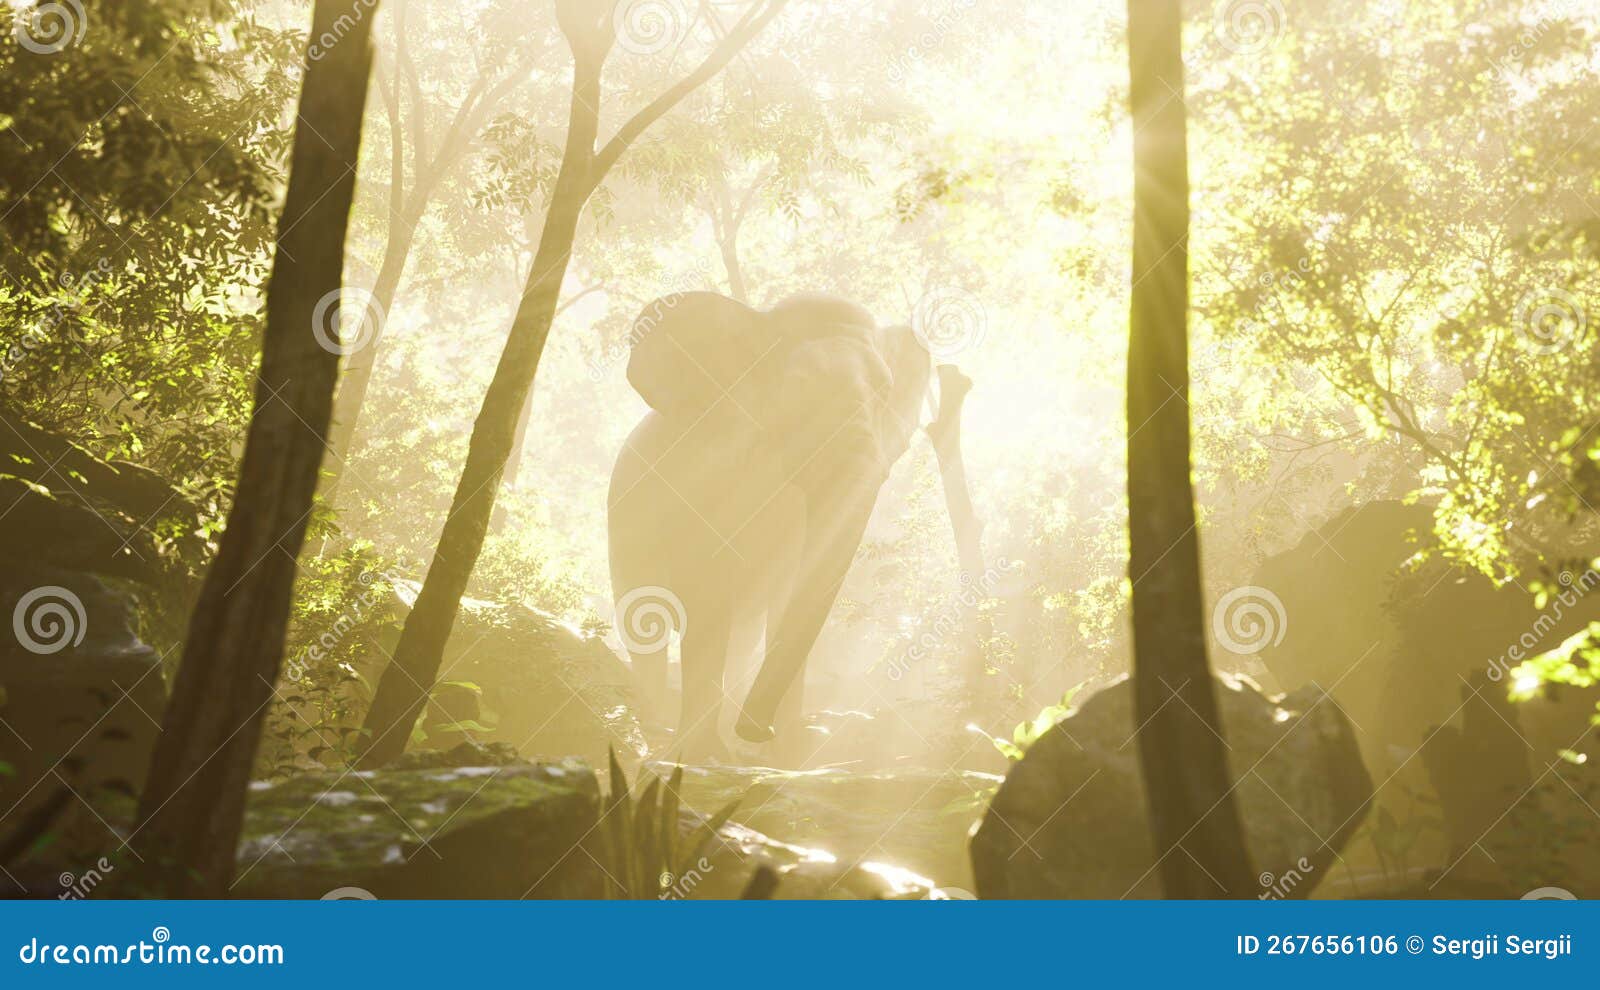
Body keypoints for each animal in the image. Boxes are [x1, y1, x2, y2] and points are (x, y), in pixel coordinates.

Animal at [607, 291, 932, 760]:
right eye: (798, 391)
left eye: (885, 392)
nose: (758, 730)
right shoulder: (703, 470)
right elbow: (704, 588)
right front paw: (702, 756)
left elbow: (792, 586)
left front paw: (785, 757)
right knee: (642, 616)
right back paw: (652, 733)